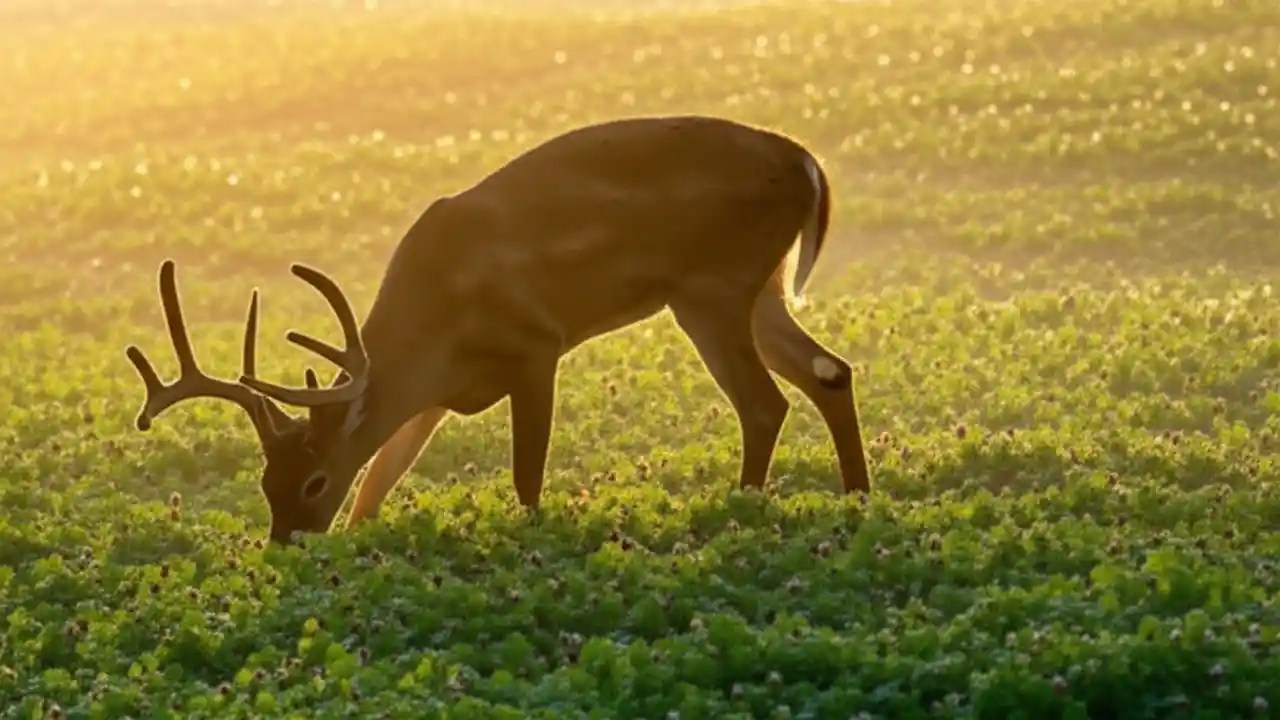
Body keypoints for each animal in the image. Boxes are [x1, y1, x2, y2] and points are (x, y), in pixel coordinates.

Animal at [126, 114, 873, 545]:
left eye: (312, 482)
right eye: (264, 483)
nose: (289, 546)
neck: (438, 316)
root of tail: (809, 164)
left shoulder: (534, 346)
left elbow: (526, 475)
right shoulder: (431, 398)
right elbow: (377, 483)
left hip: (711, 288)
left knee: (764, 402)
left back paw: (742, 510)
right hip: (760, 287)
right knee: (830, 372)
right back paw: (858, 498)